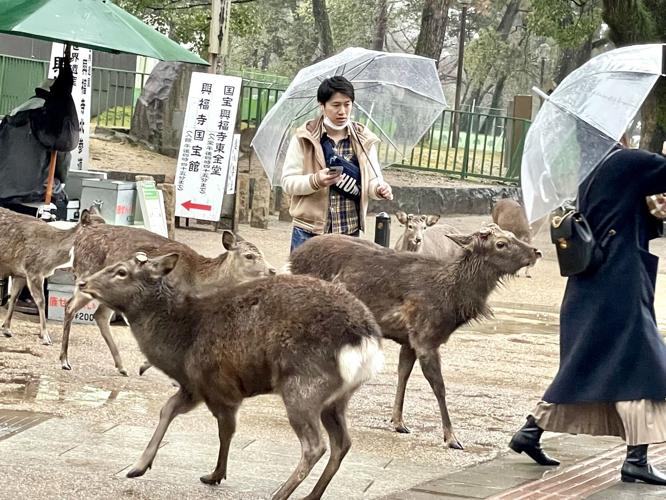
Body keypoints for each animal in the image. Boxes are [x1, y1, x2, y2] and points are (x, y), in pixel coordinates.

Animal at [0, 207, 81, 345]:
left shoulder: (20, 273)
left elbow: (14, 297)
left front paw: (6, 329)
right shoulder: (33, 270)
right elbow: (41, 301)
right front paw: (45, 336)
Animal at [59, 210, 276, 376]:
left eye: (263, 254)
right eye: (249, 256)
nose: (272, 270)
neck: (197, 280)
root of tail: (80, 238)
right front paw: (148, 365)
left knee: (100, 315)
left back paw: (121, 367)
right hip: (86, 274)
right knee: (70, 306)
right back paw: (65, 361)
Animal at [76, 252, 384, 500]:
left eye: (121, 271)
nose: (83, 283)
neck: (180, 340)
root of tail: (366, 340)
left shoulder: (216, 385)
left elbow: (224, 429)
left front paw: (140, 468)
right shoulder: (195, 386)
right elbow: (170, 410)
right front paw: (145, 467)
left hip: (303, 386)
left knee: (315, 445)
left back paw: (279, 493)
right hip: (337, 398)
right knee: (342, 442)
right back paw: (312, 495)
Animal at [289, 224, 541, 450]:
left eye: (511, 234)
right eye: (501, 243)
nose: (536, 251)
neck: (452, 298)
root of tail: (292, 259)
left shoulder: (409, 339)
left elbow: (403, 373)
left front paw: (398, 422)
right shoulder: (425, 335)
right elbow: (439, 385)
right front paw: (451, 438)